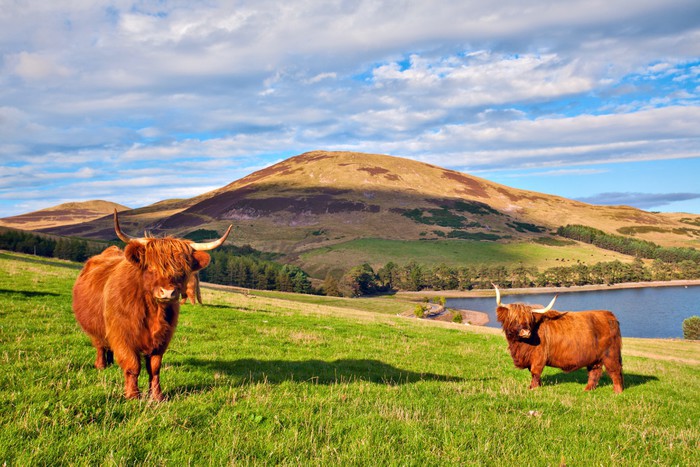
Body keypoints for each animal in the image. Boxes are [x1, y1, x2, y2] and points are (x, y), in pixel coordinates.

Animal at [72, 210, 231, 400]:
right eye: (151, 267)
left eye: (181, 270)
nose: (168, 293)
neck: (152, 311)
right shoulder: (123, 335)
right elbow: (132, 365)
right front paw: (133, 395)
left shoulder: (162, 338)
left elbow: (154, 368)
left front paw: (157, 396)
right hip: (94, 326)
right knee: (99, 345)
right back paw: (102, 365)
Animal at [493, 284, 623, 393]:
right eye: (514, 319)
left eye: (529, 319)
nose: (526, 332)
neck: (520, 345)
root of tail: (609, 315)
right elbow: (533, 373)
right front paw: (538, 385)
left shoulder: (539, 356)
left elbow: (535, 372)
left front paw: (533, 388)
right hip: (594, 357)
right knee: (594, 372)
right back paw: (587, 389)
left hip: (610, 354)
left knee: (615, 370)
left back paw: (617, 391)